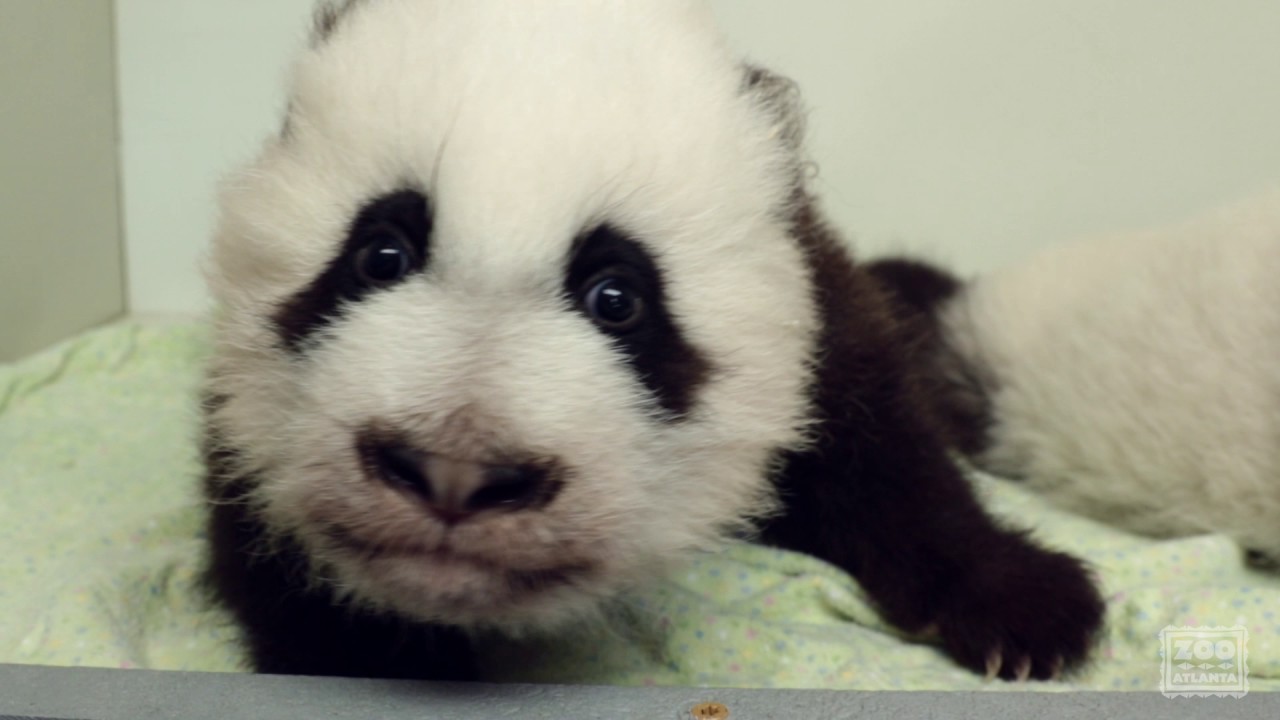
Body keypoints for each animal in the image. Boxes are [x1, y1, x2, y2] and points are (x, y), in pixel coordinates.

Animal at [200, 0, 1104, 683]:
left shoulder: (817, 313)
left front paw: (1026, 608)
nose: (457, 472)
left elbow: (887, 452)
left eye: (617, 299)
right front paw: (377, 660)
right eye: (381, 254)